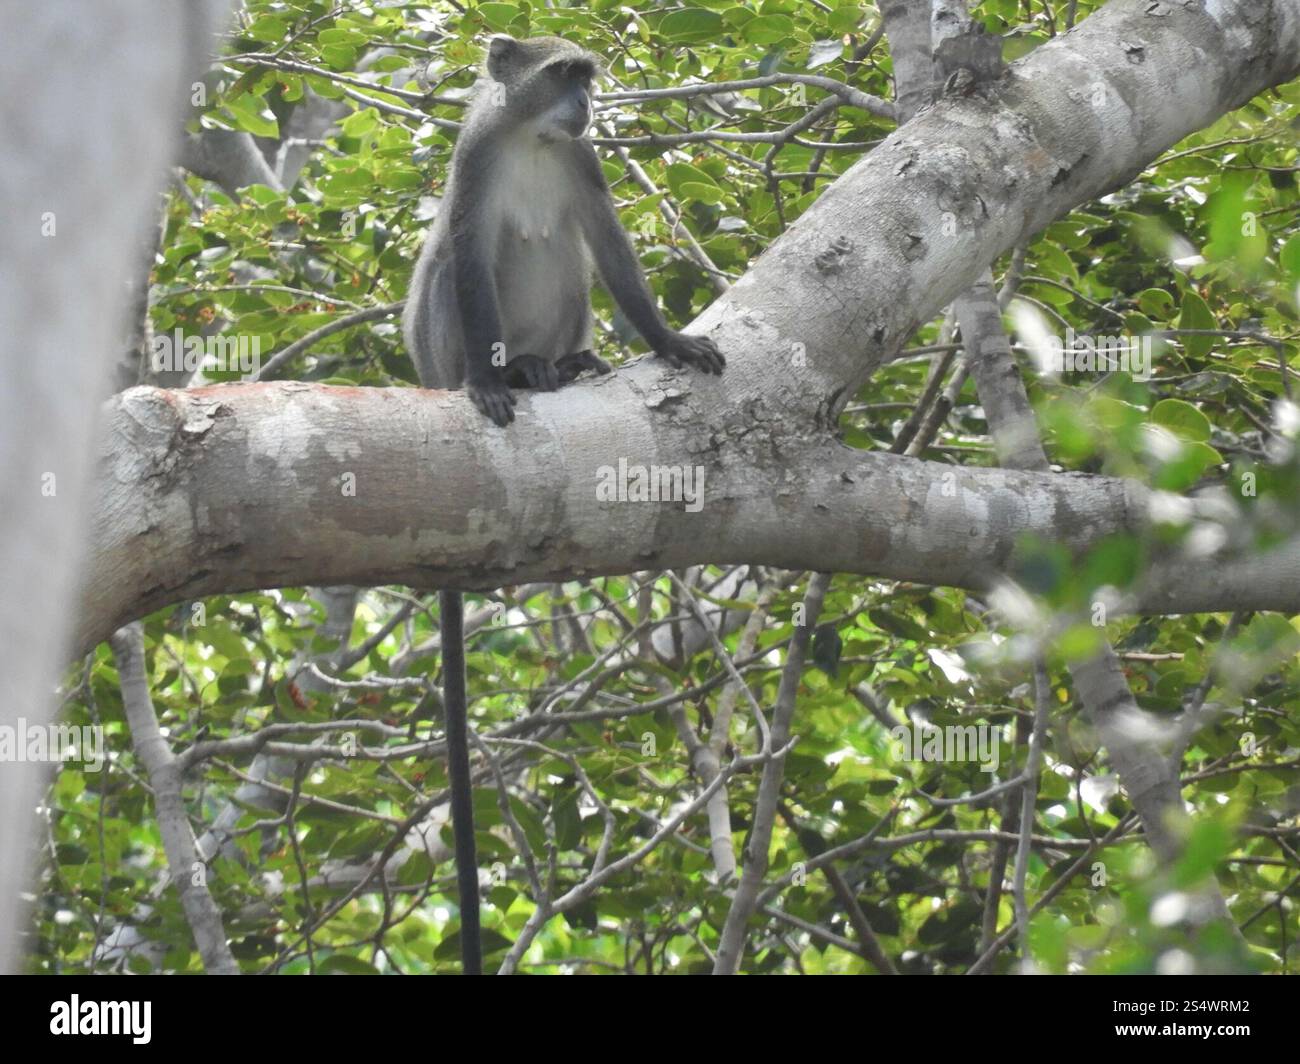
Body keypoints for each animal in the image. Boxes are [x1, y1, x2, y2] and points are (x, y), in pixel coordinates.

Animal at [402, 35, 725, 974]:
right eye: (561, 77)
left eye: (587, 80)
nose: (585, 106)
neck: (537, 140)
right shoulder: (477, 159)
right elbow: (468, 251)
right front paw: (488, 382)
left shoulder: (583, 162)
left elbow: (608, 247)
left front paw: (668, 340)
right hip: (436, 350)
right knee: (451, 267)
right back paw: (511, 374)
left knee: (569, 260)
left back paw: (562, 367)